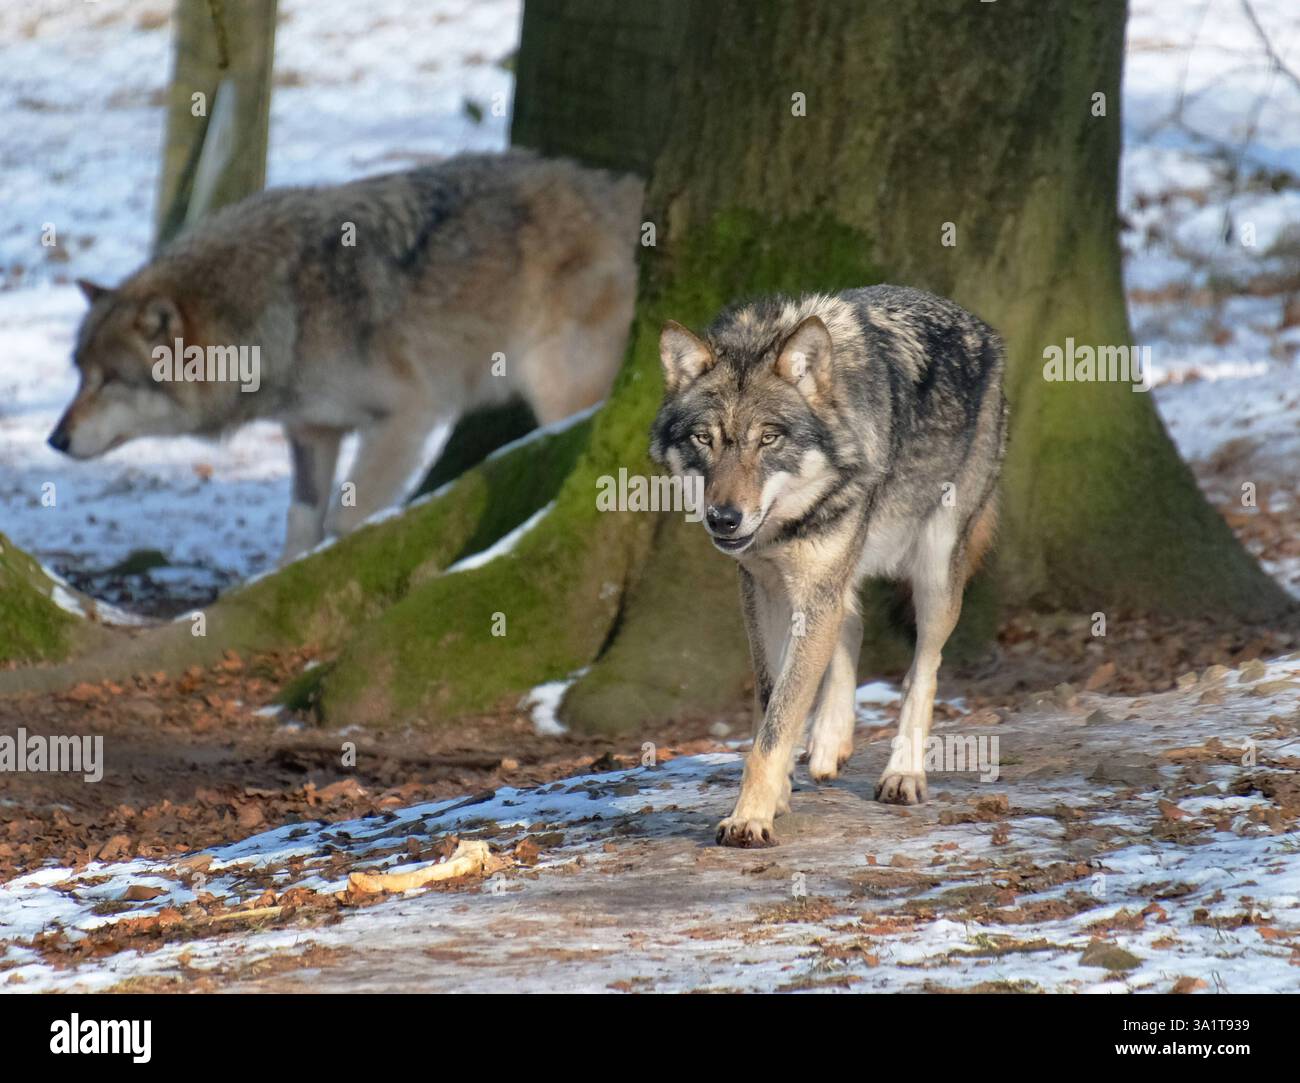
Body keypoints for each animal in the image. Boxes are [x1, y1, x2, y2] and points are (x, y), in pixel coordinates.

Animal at [49, 152, 642, 560]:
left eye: (109, 380)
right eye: (79, 374)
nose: (55, 440)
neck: (281, 308)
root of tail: (624, 192)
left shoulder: (407, 416)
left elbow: (344, 521)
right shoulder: (311, 432)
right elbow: (300, 525)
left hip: (558, 388)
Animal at [650, 286, 1007, 847]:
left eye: (768, 438)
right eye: (705, 439)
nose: (723, 519)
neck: (790, 522)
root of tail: (980, 325)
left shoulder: (814, 588)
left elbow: (778, 724)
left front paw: (750, 817)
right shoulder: (762, 589)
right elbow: (772, 703)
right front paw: (776, 796)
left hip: (935, 567)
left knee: (923, 669)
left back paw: (904, 773)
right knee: (852, 622)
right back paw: (829, 742)